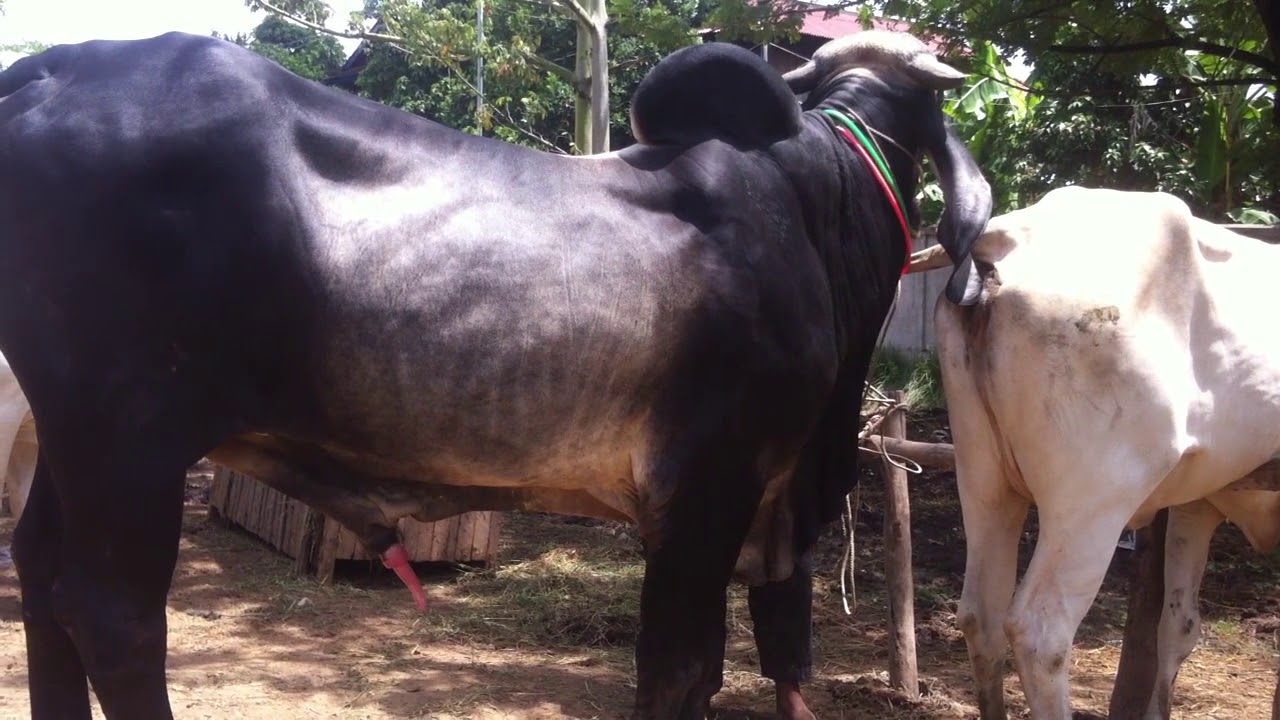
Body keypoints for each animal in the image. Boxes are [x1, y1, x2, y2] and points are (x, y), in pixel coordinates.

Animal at [0, 29, 991, 719]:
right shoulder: (708, 487)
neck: (819, 210)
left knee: (40, 572)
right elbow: (681, 669)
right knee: (111, 613)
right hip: (132, 438)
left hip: (78, 437)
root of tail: (51, 72)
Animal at [909, 186, 1280, 719]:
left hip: (982, 478)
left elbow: (1178, 626)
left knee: (981, 612)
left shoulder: (1196, 503)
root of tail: (1003, 239)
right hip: (1093, 502)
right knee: (1040, 631)